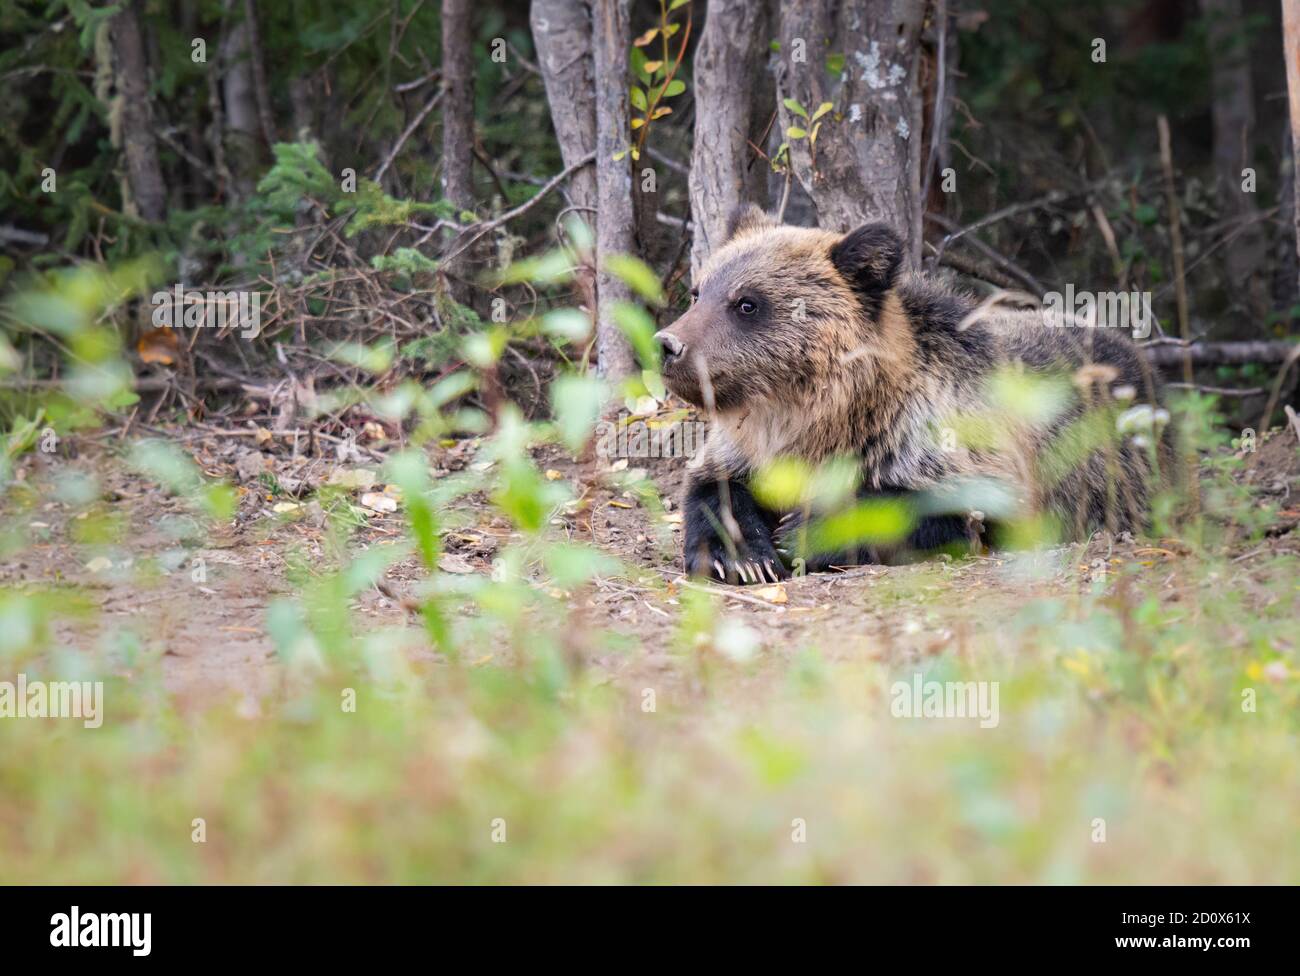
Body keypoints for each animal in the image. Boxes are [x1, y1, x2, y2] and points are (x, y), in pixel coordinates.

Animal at [656, 204, 1172, 584]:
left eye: (747, 303)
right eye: (699, 291)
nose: (667, 344)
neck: (821, 415)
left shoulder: (949, 446)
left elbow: (934, 510)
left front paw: (798, 534)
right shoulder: (748, 448)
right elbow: (712, 488)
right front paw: (746, 556)